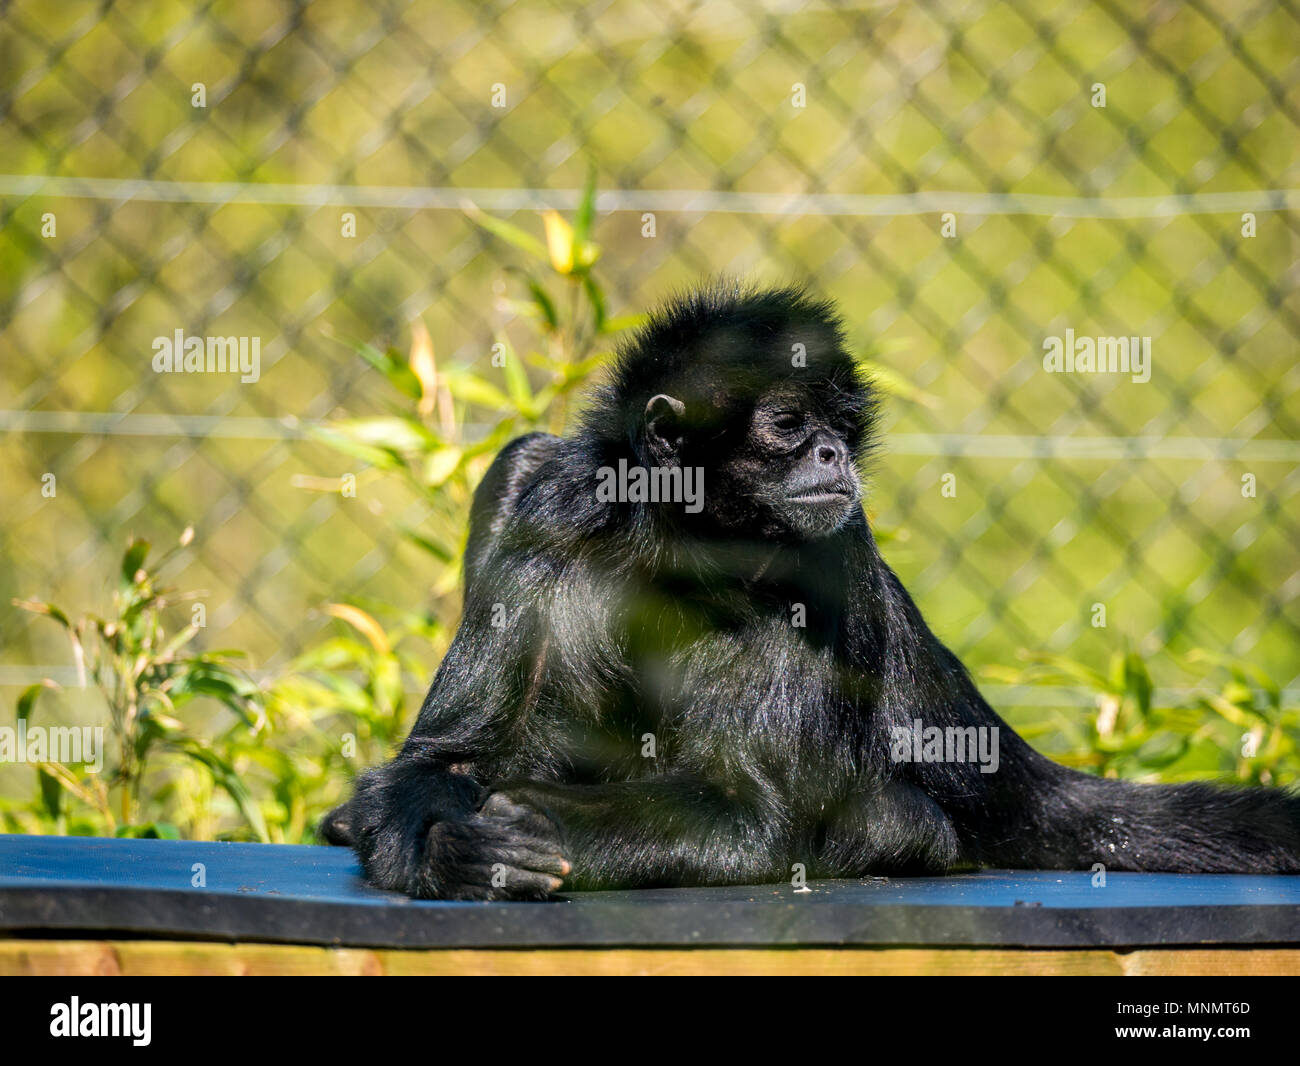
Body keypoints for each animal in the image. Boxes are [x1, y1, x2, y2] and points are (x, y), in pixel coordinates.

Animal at [322, 282, 1300, 899]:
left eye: (840, 427)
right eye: (790, 425)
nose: (831, 452)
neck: (673, 544)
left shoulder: (825, 556)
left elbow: (751, 824)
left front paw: (509, 834)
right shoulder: (543, 508)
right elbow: (444, 761)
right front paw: (452, 841)